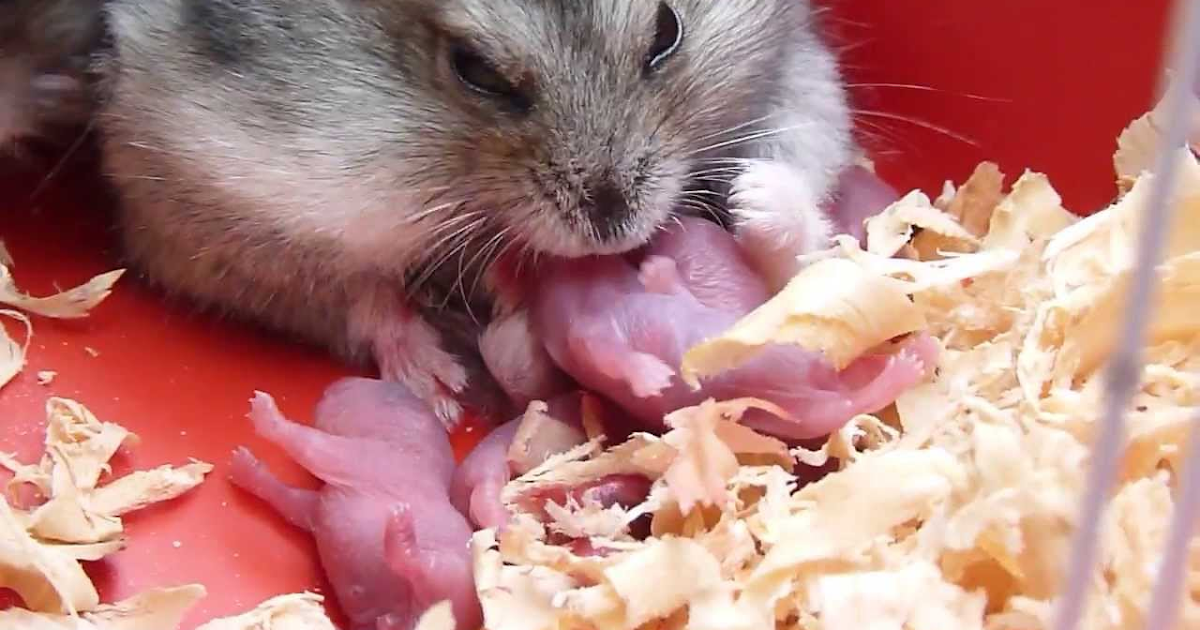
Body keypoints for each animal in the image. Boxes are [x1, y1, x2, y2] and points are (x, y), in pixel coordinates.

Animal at [92, 0, 856, 427]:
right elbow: (357, 291)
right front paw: (441, 387)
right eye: (475, 69)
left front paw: (752, 195)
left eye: (667, 29)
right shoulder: (201, 210)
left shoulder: (802, 77)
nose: (613, 229)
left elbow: (804, 226)